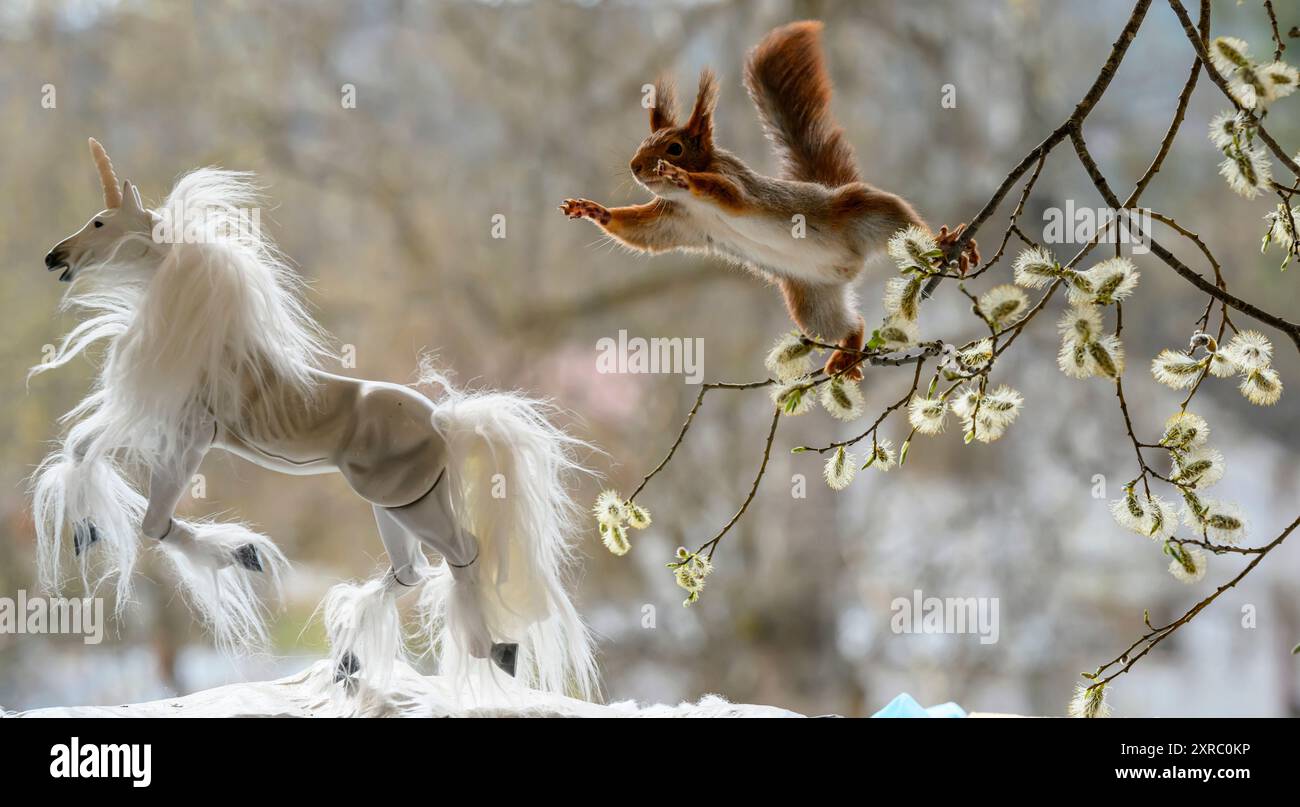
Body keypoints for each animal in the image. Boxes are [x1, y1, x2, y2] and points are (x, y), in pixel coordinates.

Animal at [561, 20, 978, 381]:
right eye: (642, 143)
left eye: (674, 148)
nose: (635, 167)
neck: (690, 204)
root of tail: (851, 264)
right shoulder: (676, 220)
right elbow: (643, 233)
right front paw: (592, 209)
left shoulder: (734, 183)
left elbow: (727, 194)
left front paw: (684, 177)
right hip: (812, 302)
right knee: (850, 322)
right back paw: (848, 350)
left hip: (868, 213)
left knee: (906, 226)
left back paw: (946, 244)